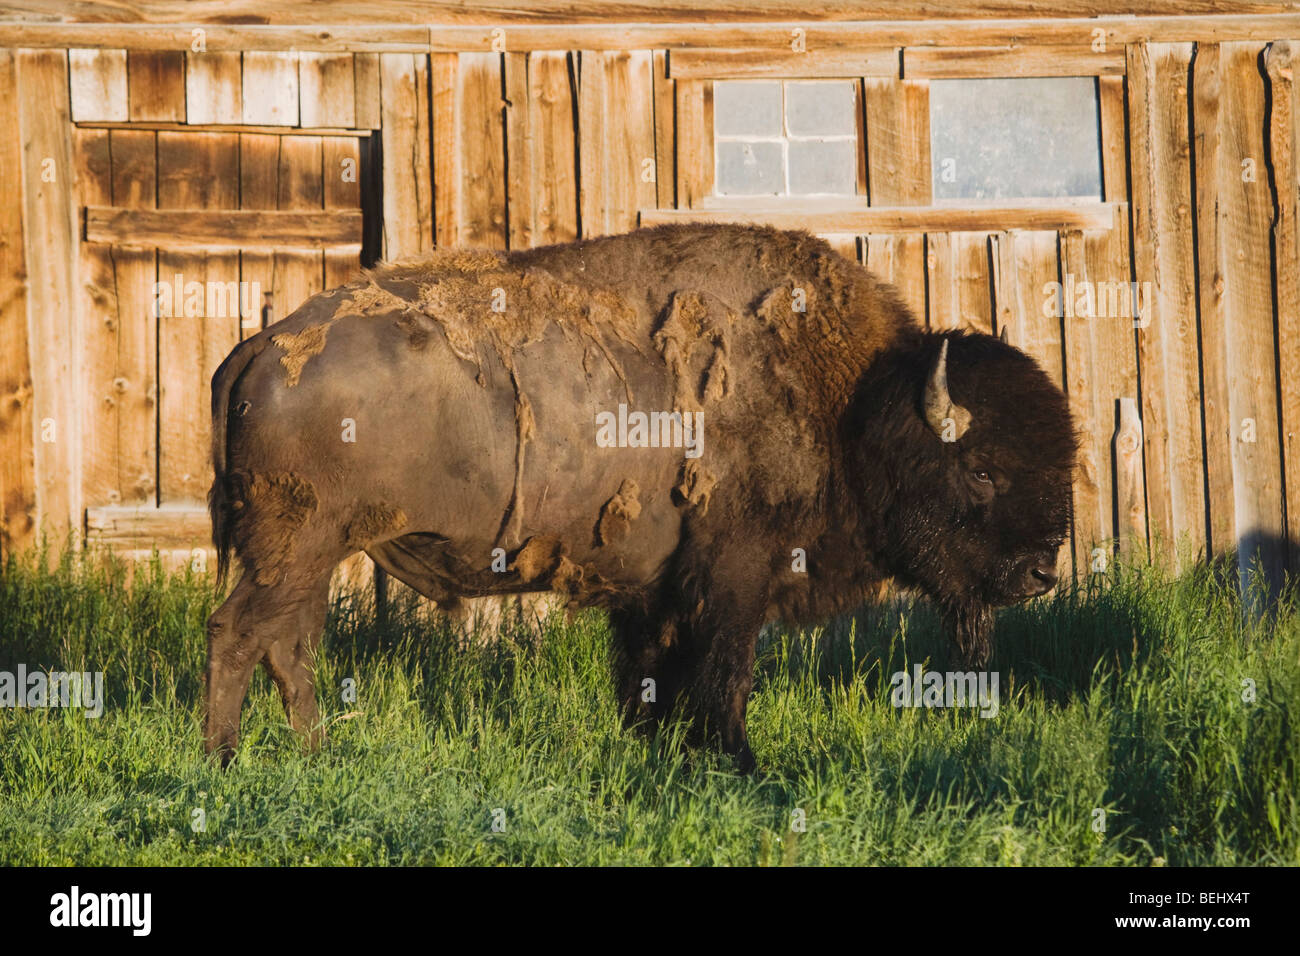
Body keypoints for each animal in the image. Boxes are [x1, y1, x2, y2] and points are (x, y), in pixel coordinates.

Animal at [204, 223, 1075, 771]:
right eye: (984, 470)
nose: (1041, 573)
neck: (852, 405)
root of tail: (263, 345)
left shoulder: (655, 589)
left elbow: (651, 674)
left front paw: (654, 750)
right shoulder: (734, 578)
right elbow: (724, 672)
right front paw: (742, 762)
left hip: (309, 554)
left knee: (288, 644)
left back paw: (314, 752)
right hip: (297, 547)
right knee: (240, 632)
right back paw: (223, 761)